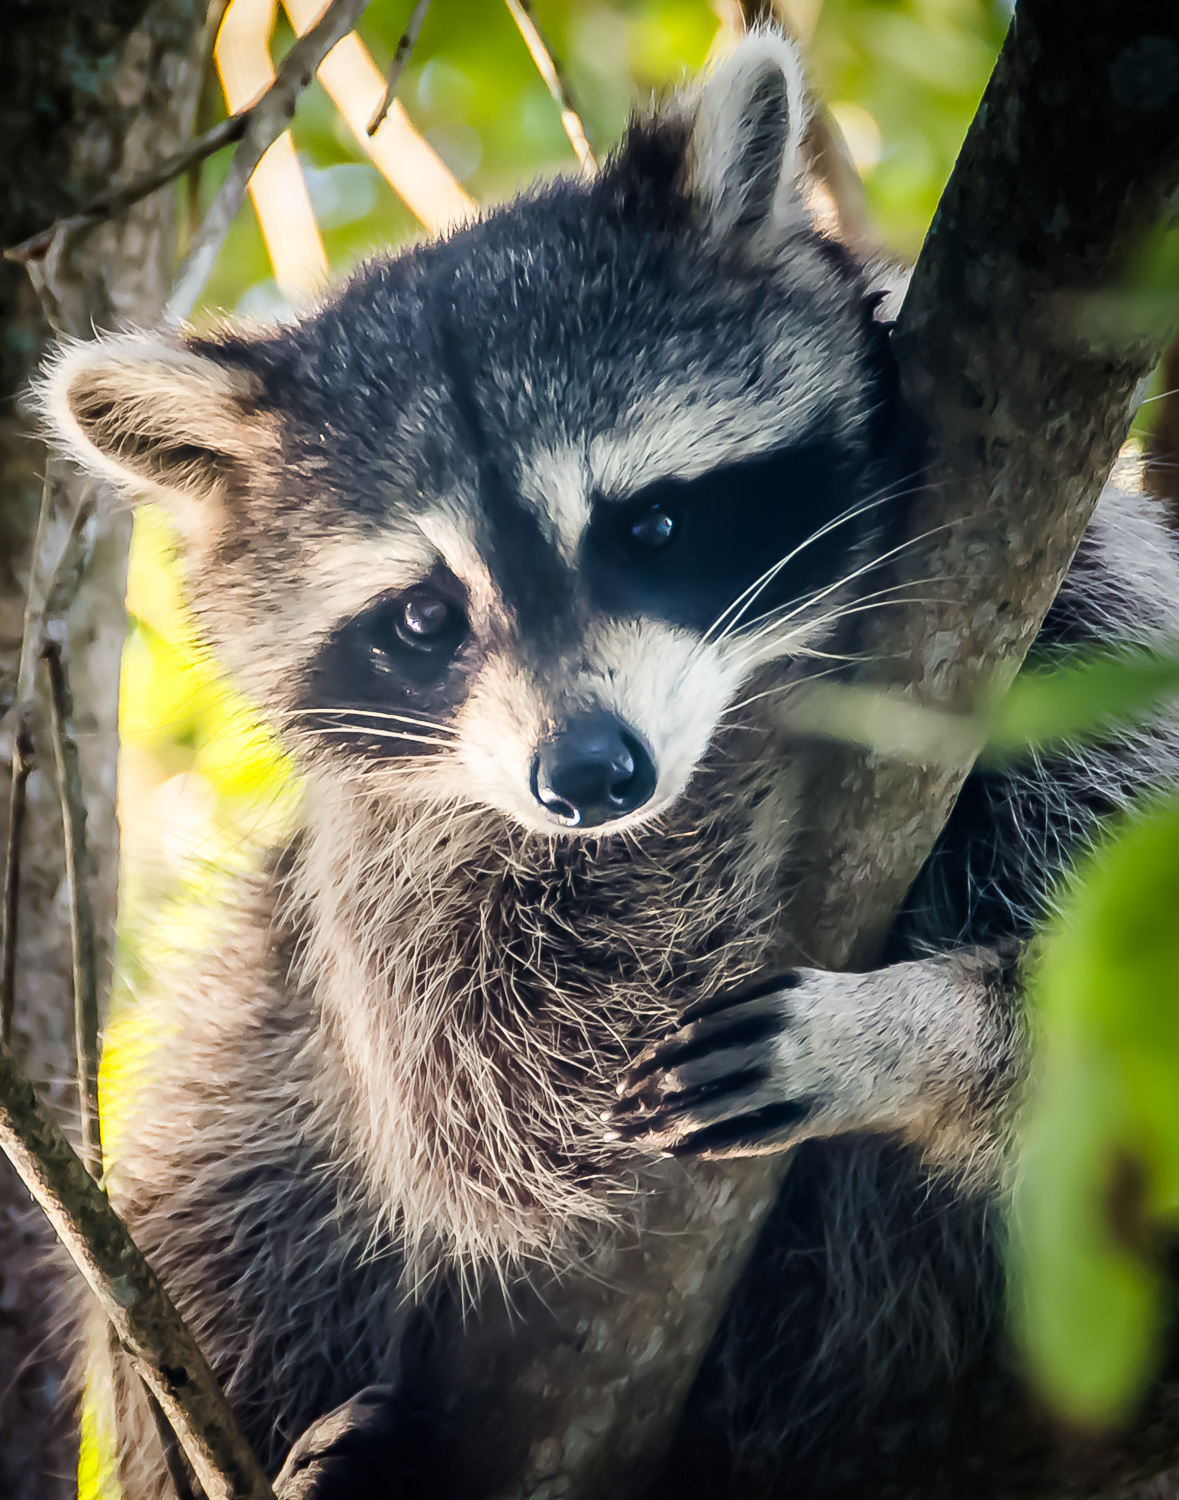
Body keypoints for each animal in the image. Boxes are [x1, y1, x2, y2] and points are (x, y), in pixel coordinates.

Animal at [40, 29, 1179, 1500]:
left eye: (651, 528)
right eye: (423, 616)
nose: (592, 777)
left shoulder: (1086, 621)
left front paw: (912, 1032)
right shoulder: (394, 853)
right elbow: (497, 1073)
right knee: (223, 1121)